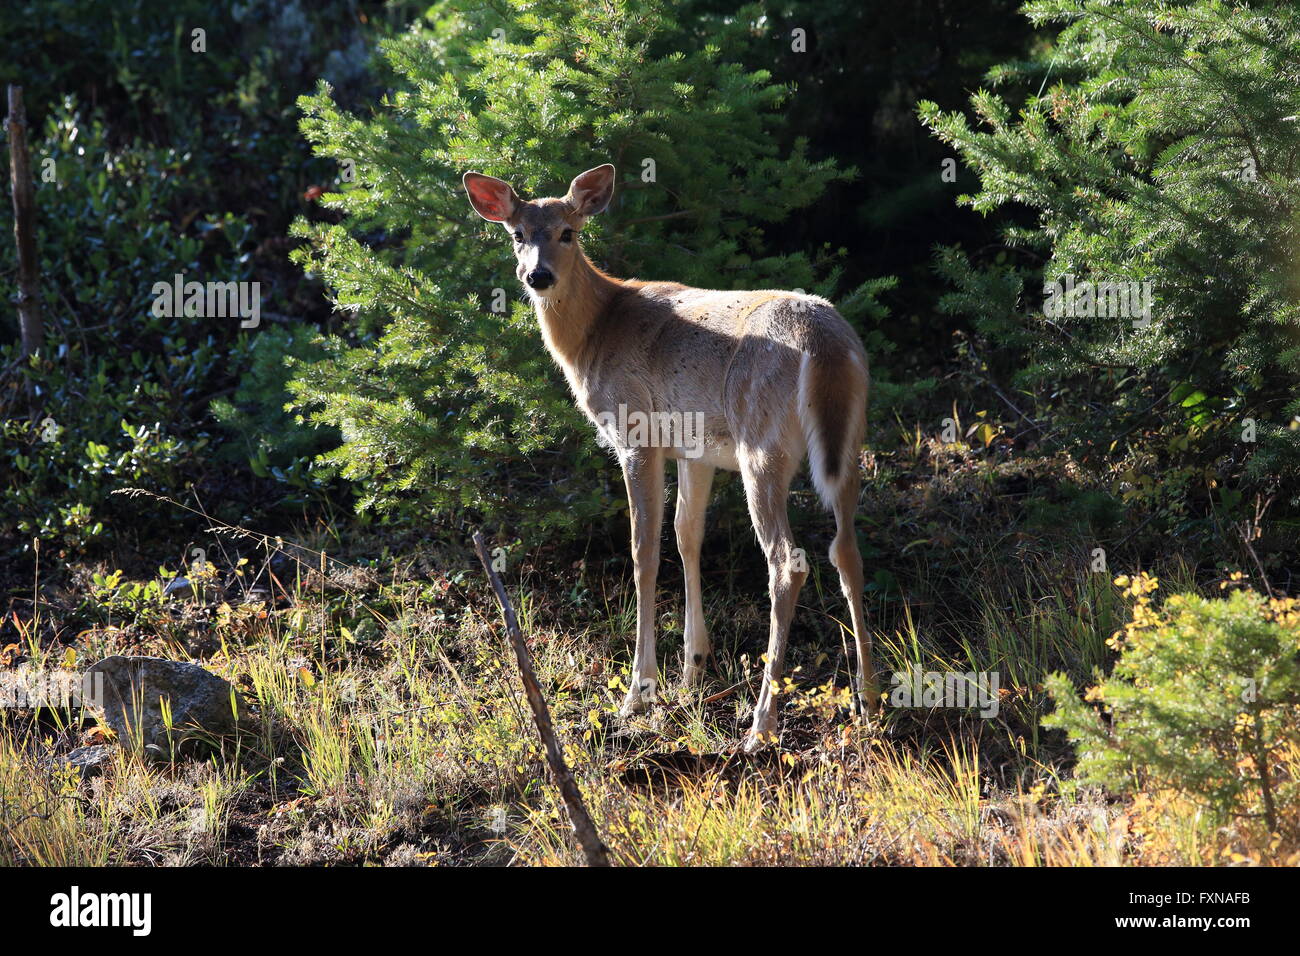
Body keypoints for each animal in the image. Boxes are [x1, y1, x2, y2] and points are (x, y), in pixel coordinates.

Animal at [463, 163, 879, 751]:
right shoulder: (694, 448)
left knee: (786, 561)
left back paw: (761, 725)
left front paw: (640, 691)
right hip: (851, 438)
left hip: (762, 443)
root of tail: (824, 344)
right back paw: (869, 700)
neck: (594, 332)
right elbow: (687, 535)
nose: (537, 276)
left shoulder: (636, 430)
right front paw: (692, 669)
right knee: (846, 549)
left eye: (569, 232)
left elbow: (644, 551)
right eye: (517, 233)